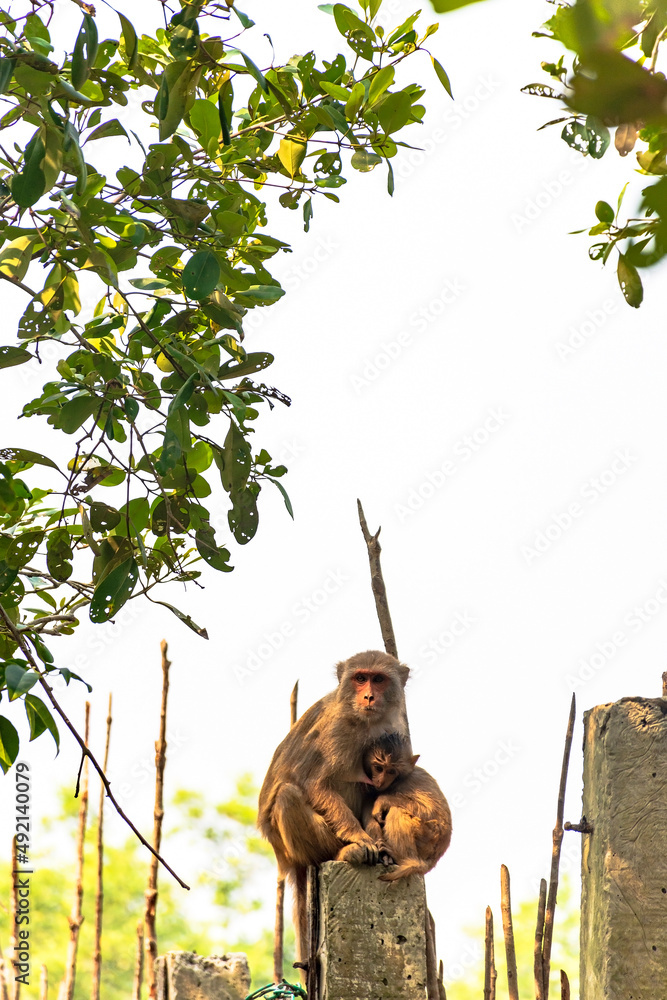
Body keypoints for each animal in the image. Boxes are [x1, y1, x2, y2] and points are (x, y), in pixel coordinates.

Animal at [257, 650, 411, 964]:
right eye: (360, 678)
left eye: (379, 679)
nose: (368, 696)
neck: (364, 722)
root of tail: (286, 860)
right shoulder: (336, 731)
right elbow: (316, 783)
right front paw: (360, 838)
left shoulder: (394, 731)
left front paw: (378, 841)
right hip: (294, 847)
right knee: (288, 795)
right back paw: (343, 851)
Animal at [361, 732, 452, 882]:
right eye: (379, 768)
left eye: (391, 771)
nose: (380, 781)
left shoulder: (414, 779)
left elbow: (432, 811)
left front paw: (382, 800)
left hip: (428, 836)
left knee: (397, 811)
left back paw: (405, 859)